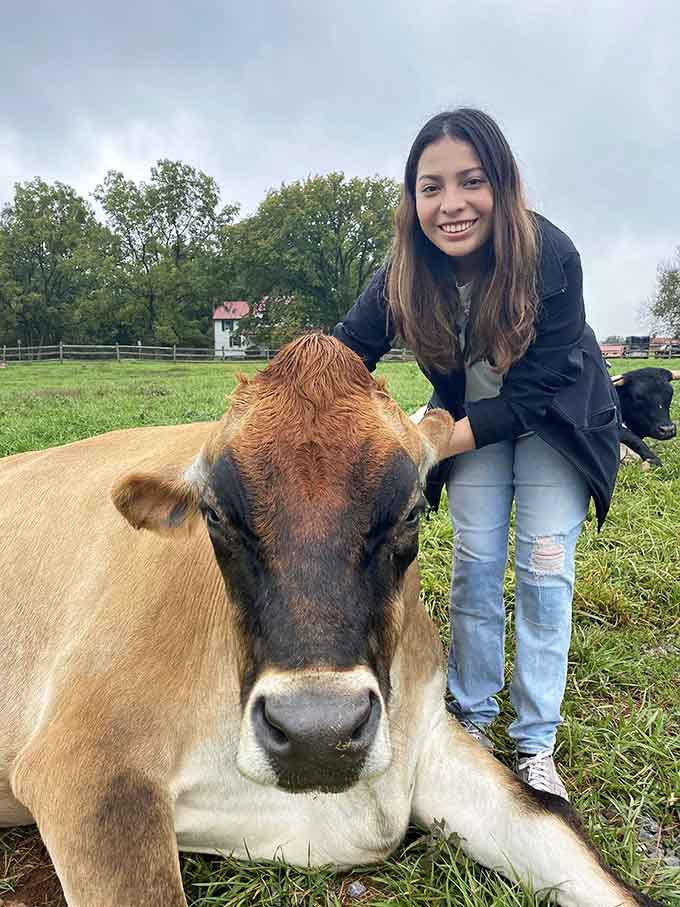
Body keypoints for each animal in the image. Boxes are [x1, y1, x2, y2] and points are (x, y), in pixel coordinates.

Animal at [0, 335, 664, 907]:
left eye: (412, 509)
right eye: (214, 515)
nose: (317, 734)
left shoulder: (428, 736)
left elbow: (563, 840)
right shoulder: (89, 773)